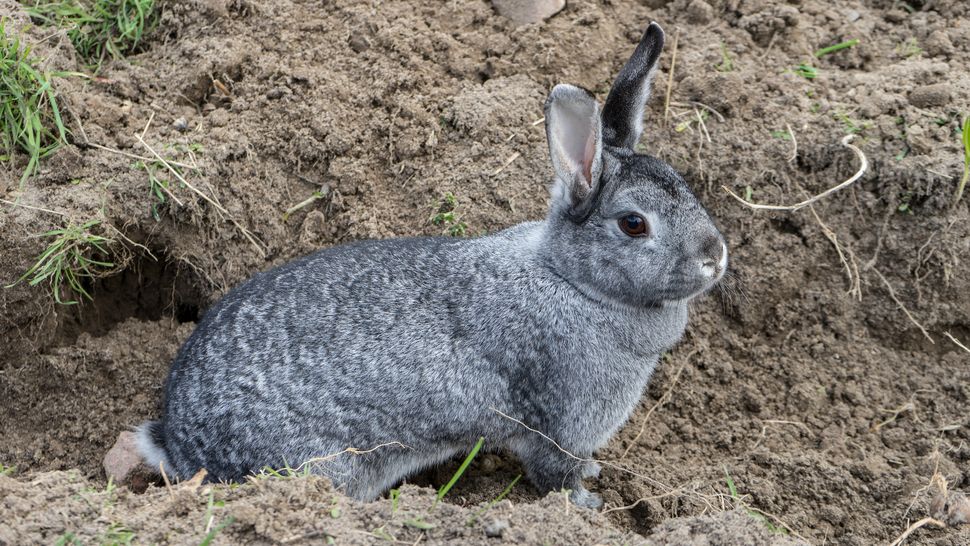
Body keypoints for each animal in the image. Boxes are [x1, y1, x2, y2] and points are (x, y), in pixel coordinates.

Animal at [135, 21, 727, 510]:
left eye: (685, 185)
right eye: (634, 224)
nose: (714, 257)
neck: (572, 280)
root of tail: (180, 445)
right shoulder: (559, 424)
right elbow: (554, 474)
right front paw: (587, 504)